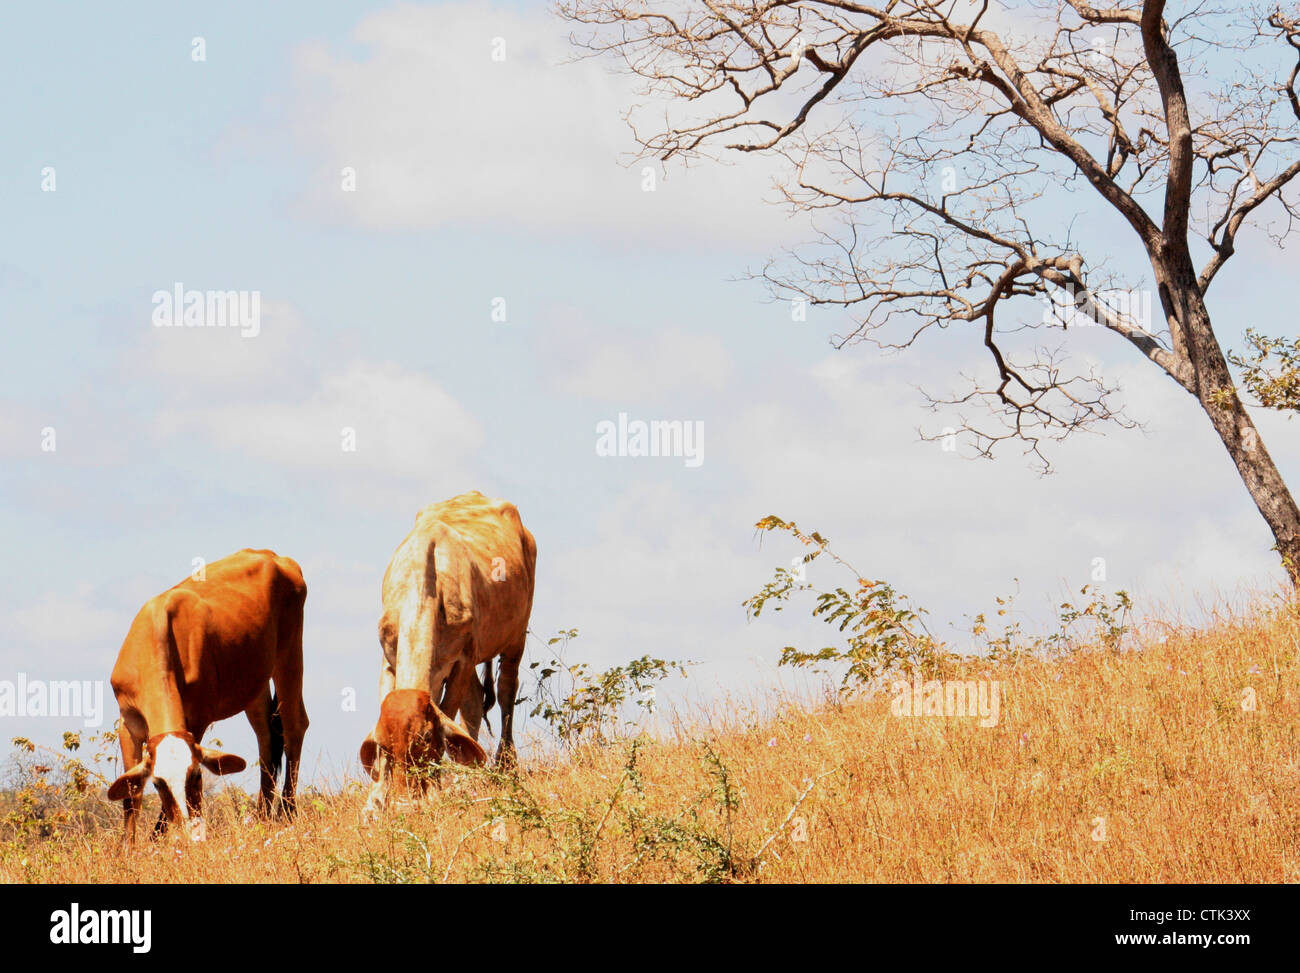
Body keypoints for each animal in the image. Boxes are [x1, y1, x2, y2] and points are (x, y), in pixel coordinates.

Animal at [106, 549, 309, 844]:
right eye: (157, 783)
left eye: (197, 777)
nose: (192, 835)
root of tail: (272, 555)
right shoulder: (128, 722)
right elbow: (131, 796)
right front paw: (129, 848)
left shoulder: (197, 719)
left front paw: (159, 838)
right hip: (255, 683)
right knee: (267, 738)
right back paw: (262, 817)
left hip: (290, 656)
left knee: (294, 727)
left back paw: (287, 813)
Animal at [361, 491, 536, 816]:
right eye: (386, 746)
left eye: (426, 739)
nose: (406, 805)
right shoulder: (389, 659)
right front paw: (375, 802)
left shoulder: (462, 661)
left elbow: (451, 711)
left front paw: (434, 791)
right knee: (475, 701)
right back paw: (468, 778)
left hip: (516, 636)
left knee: (506, 691)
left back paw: (505, 764)